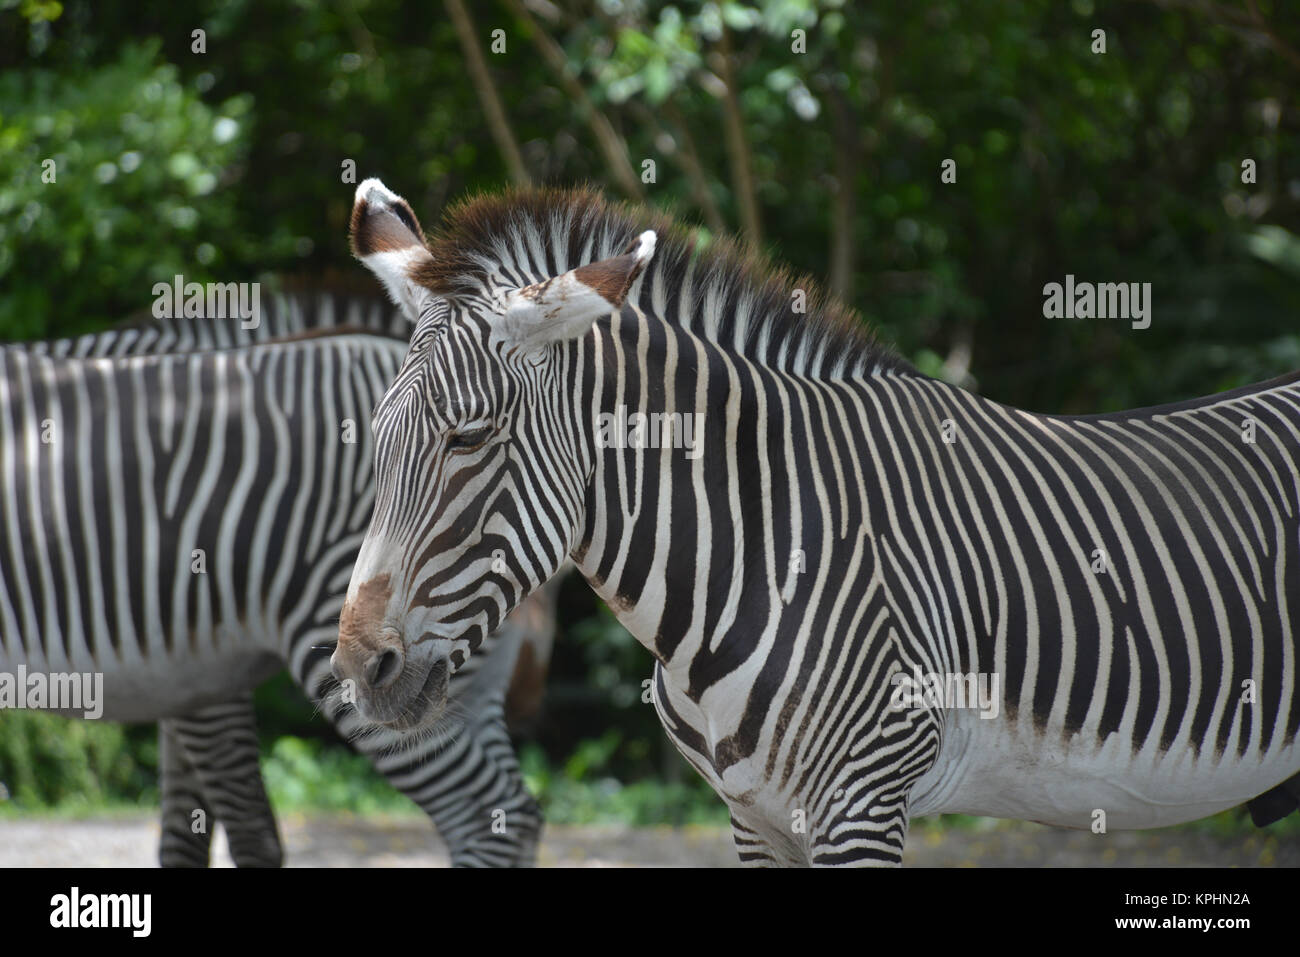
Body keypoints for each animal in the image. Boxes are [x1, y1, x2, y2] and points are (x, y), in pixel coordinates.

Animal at [0, 322, 552, 866]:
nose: (532, 693)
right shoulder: (185, 676)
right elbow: (191, 837)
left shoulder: (191, 660)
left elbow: (248, 833)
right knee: (516, 814)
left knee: (487, 813)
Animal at [330, 178, 1300, 866]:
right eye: (374, 436)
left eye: (469, 438)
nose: (357, 669)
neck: (759, 549)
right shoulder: (755, 817)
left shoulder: (863, 803)